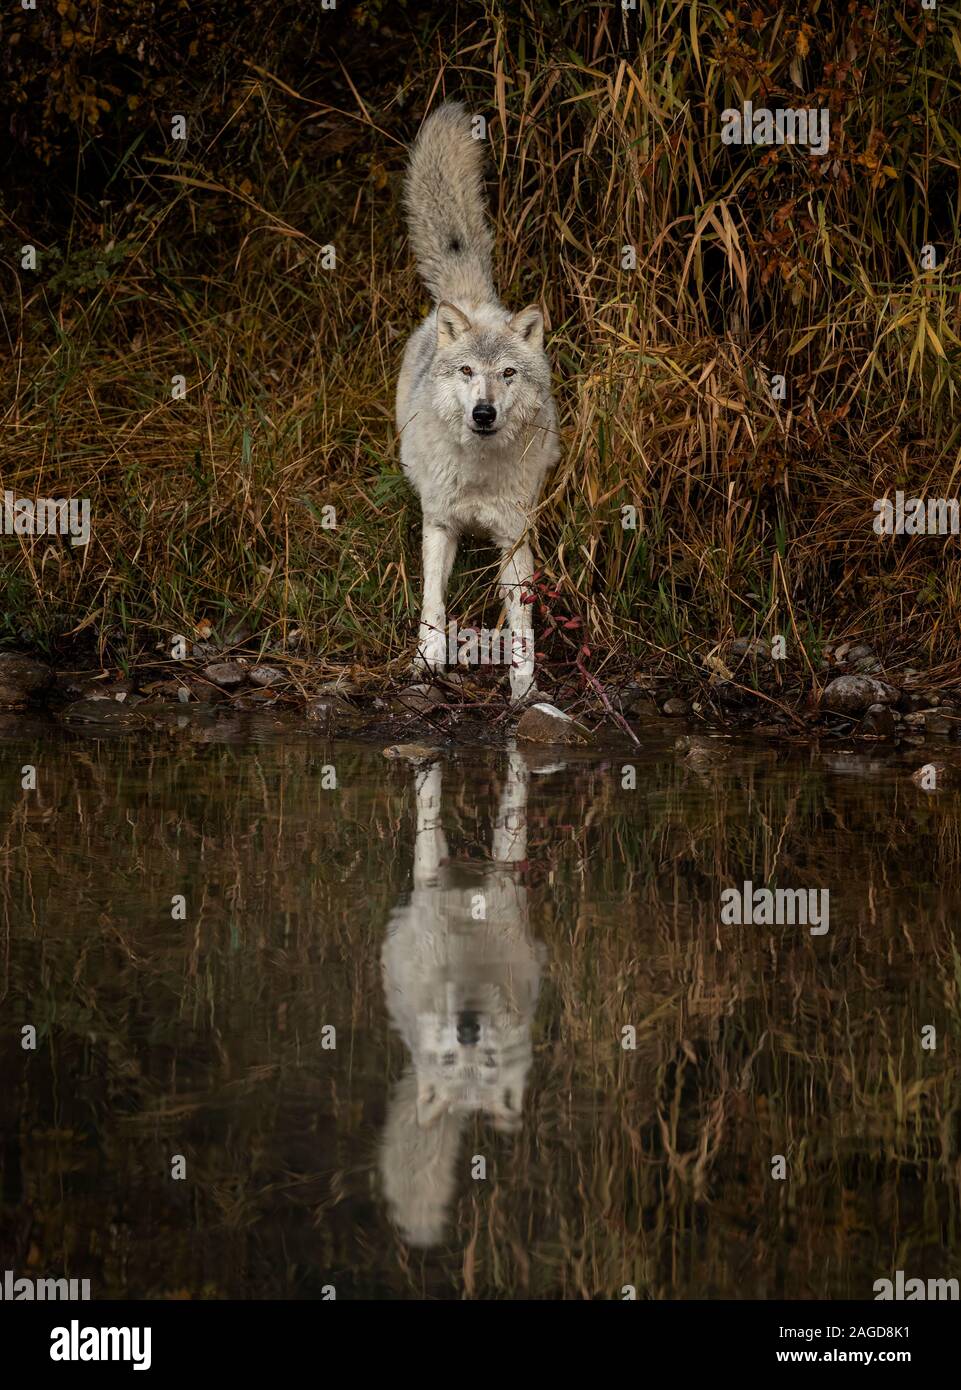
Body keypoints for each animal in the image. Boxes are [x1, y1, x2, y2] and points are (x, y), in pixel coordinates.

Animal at [379, 751, 544, 1247]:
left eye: (489, 1061)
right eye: (451, 1061)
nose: (467, 1027)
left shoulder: (506, 887)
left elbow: (514, 810)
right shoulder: (429, 881)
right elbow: (429, 812)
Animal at [396, 102, 561, 702]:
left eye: (507, 374)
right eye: (467, 371)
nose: (483, 412)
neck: (477, 471)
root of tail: (472, 301)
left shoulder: (514, 537)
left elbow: (522, 620)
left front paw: (526, 689)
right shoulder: (439, 523)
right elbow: (432, 601)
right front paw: (426, 661)